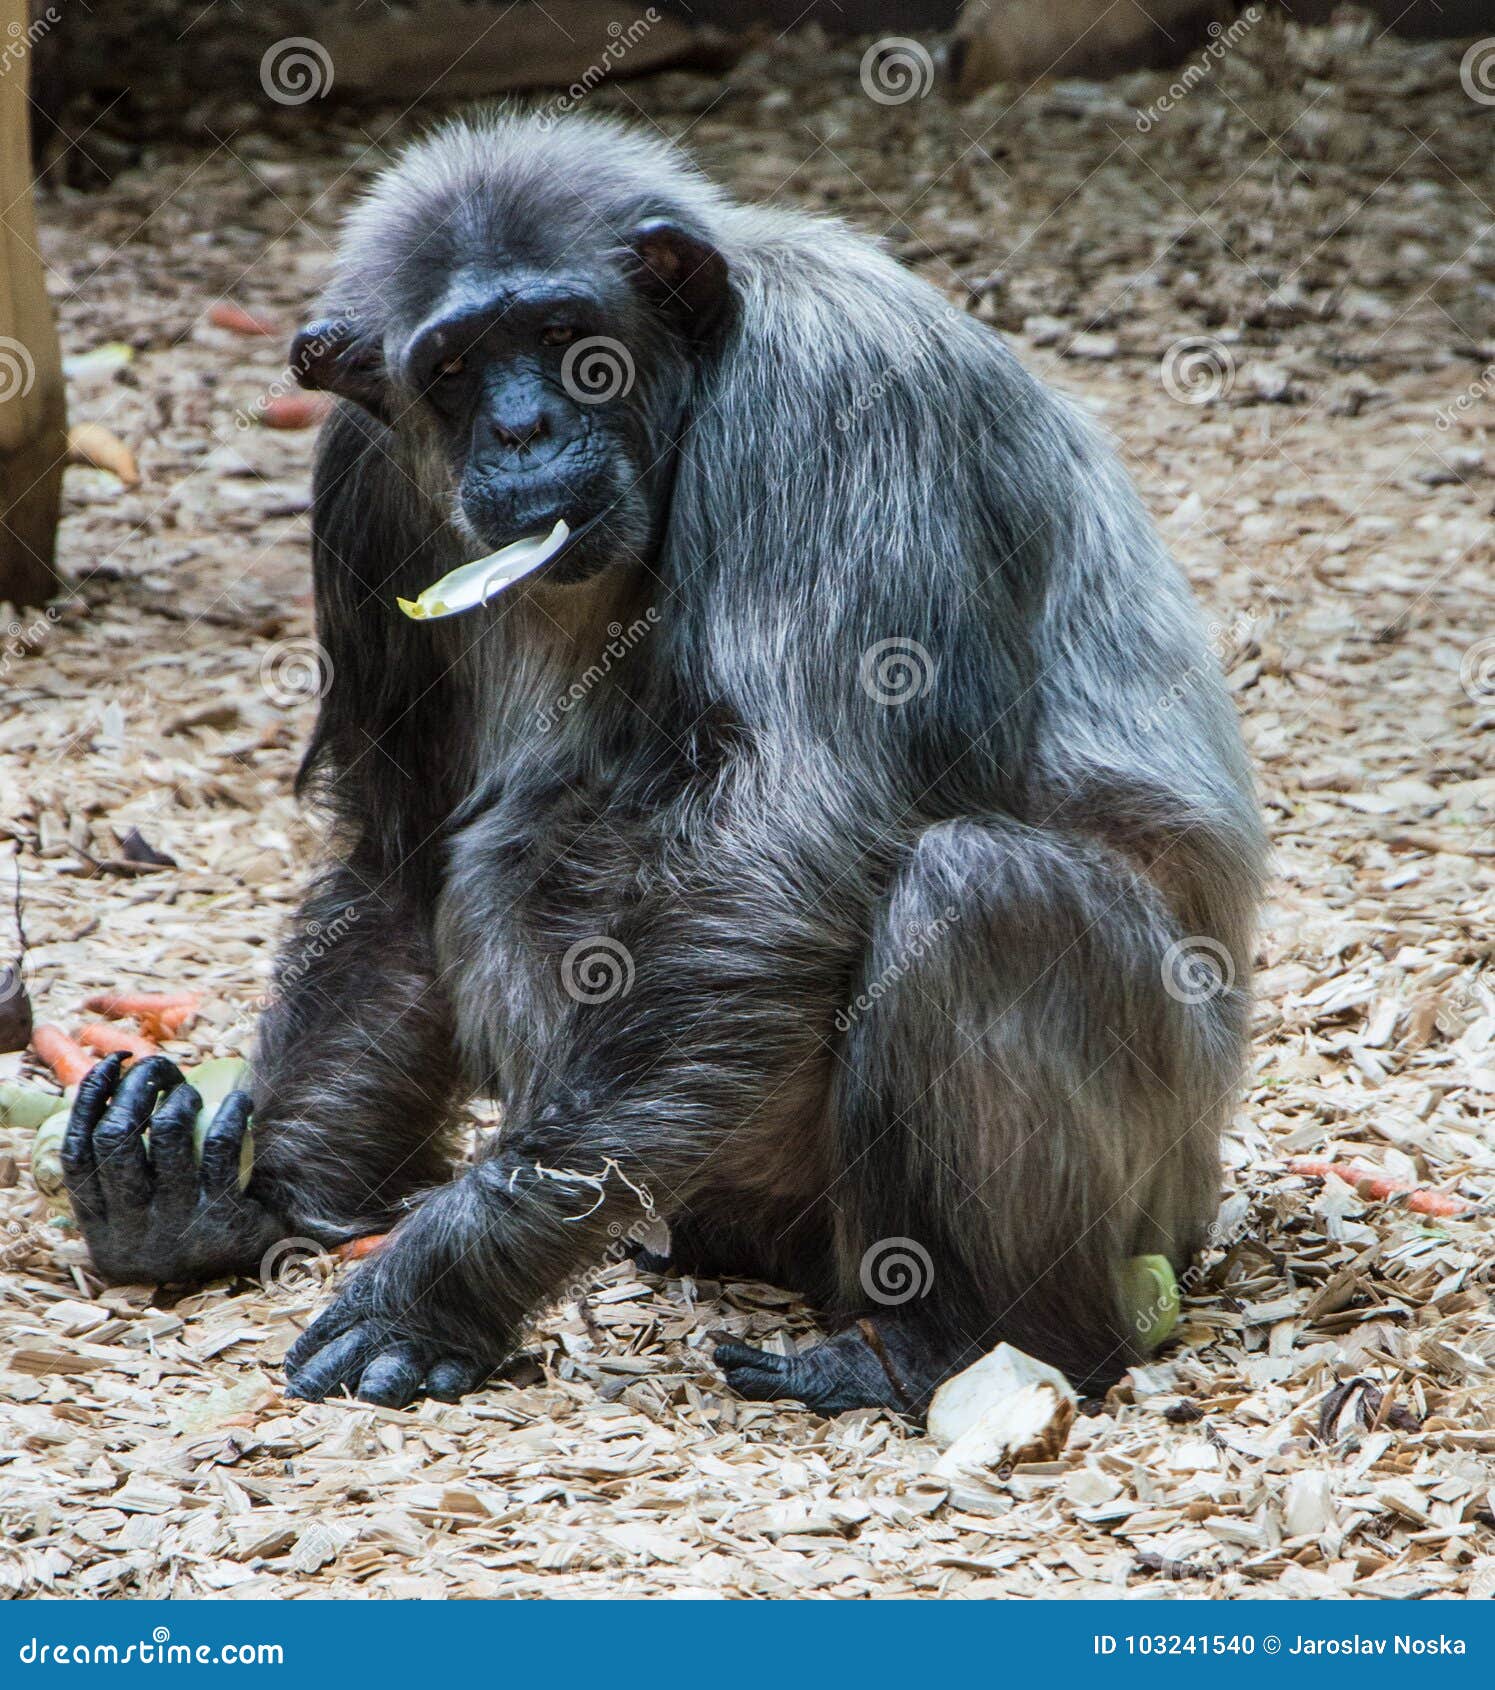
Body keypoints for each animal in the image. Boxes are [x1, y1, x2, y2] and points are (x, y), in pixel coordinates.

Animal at [62, 110, 1265, 1415]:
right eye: (454, 368)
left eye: (566, 342)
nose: (523, 426)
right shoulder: (360, 486)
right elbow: (398, 858)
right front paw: (227, 1201)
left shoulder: (835, 399)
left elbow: (790, 827)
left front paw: (438, 1280)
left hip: (1152, 1188)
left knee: (980, 901)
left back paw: (954, 1345)